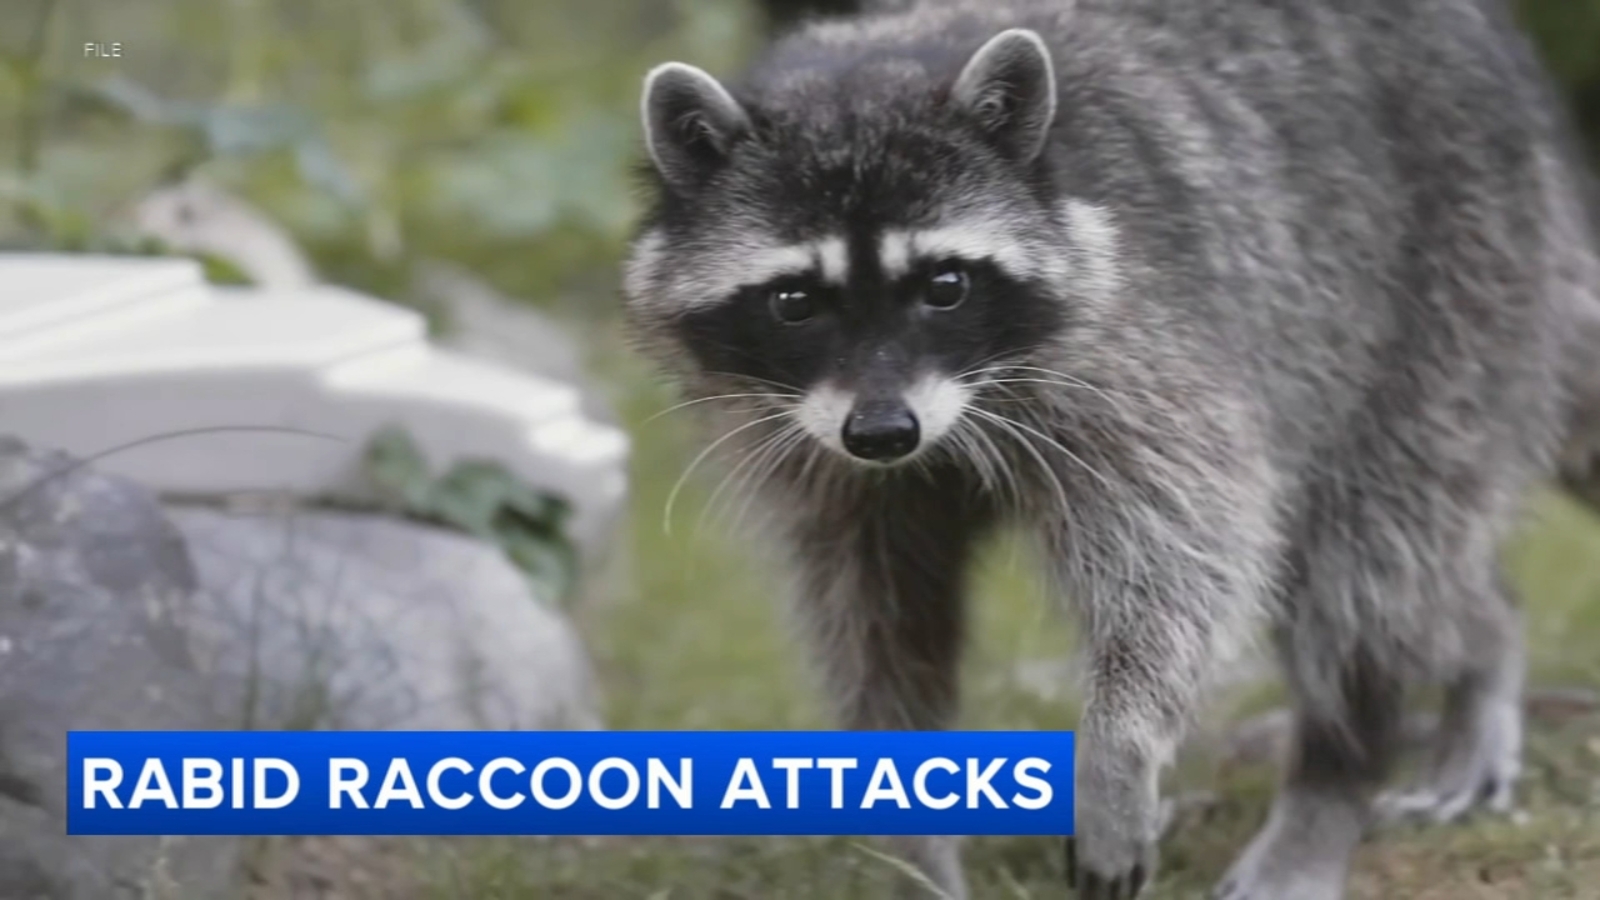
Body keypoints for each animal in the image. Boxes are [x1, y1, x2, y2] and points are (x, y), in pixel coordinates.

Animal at [622, 0, 1600, 897]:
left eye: (946, 285)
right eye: (794, 302)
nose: (884, 432)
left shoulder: (1141, 352)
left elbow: (1185, 554)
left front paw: (1117, 755)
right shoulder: (813, 455)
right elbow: (875, 621)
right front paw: (910, 845)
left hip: (1445, 287)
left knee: (1370, 550)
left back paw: (1336, 771)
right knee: (1429, 558)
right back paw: (1487, 637)